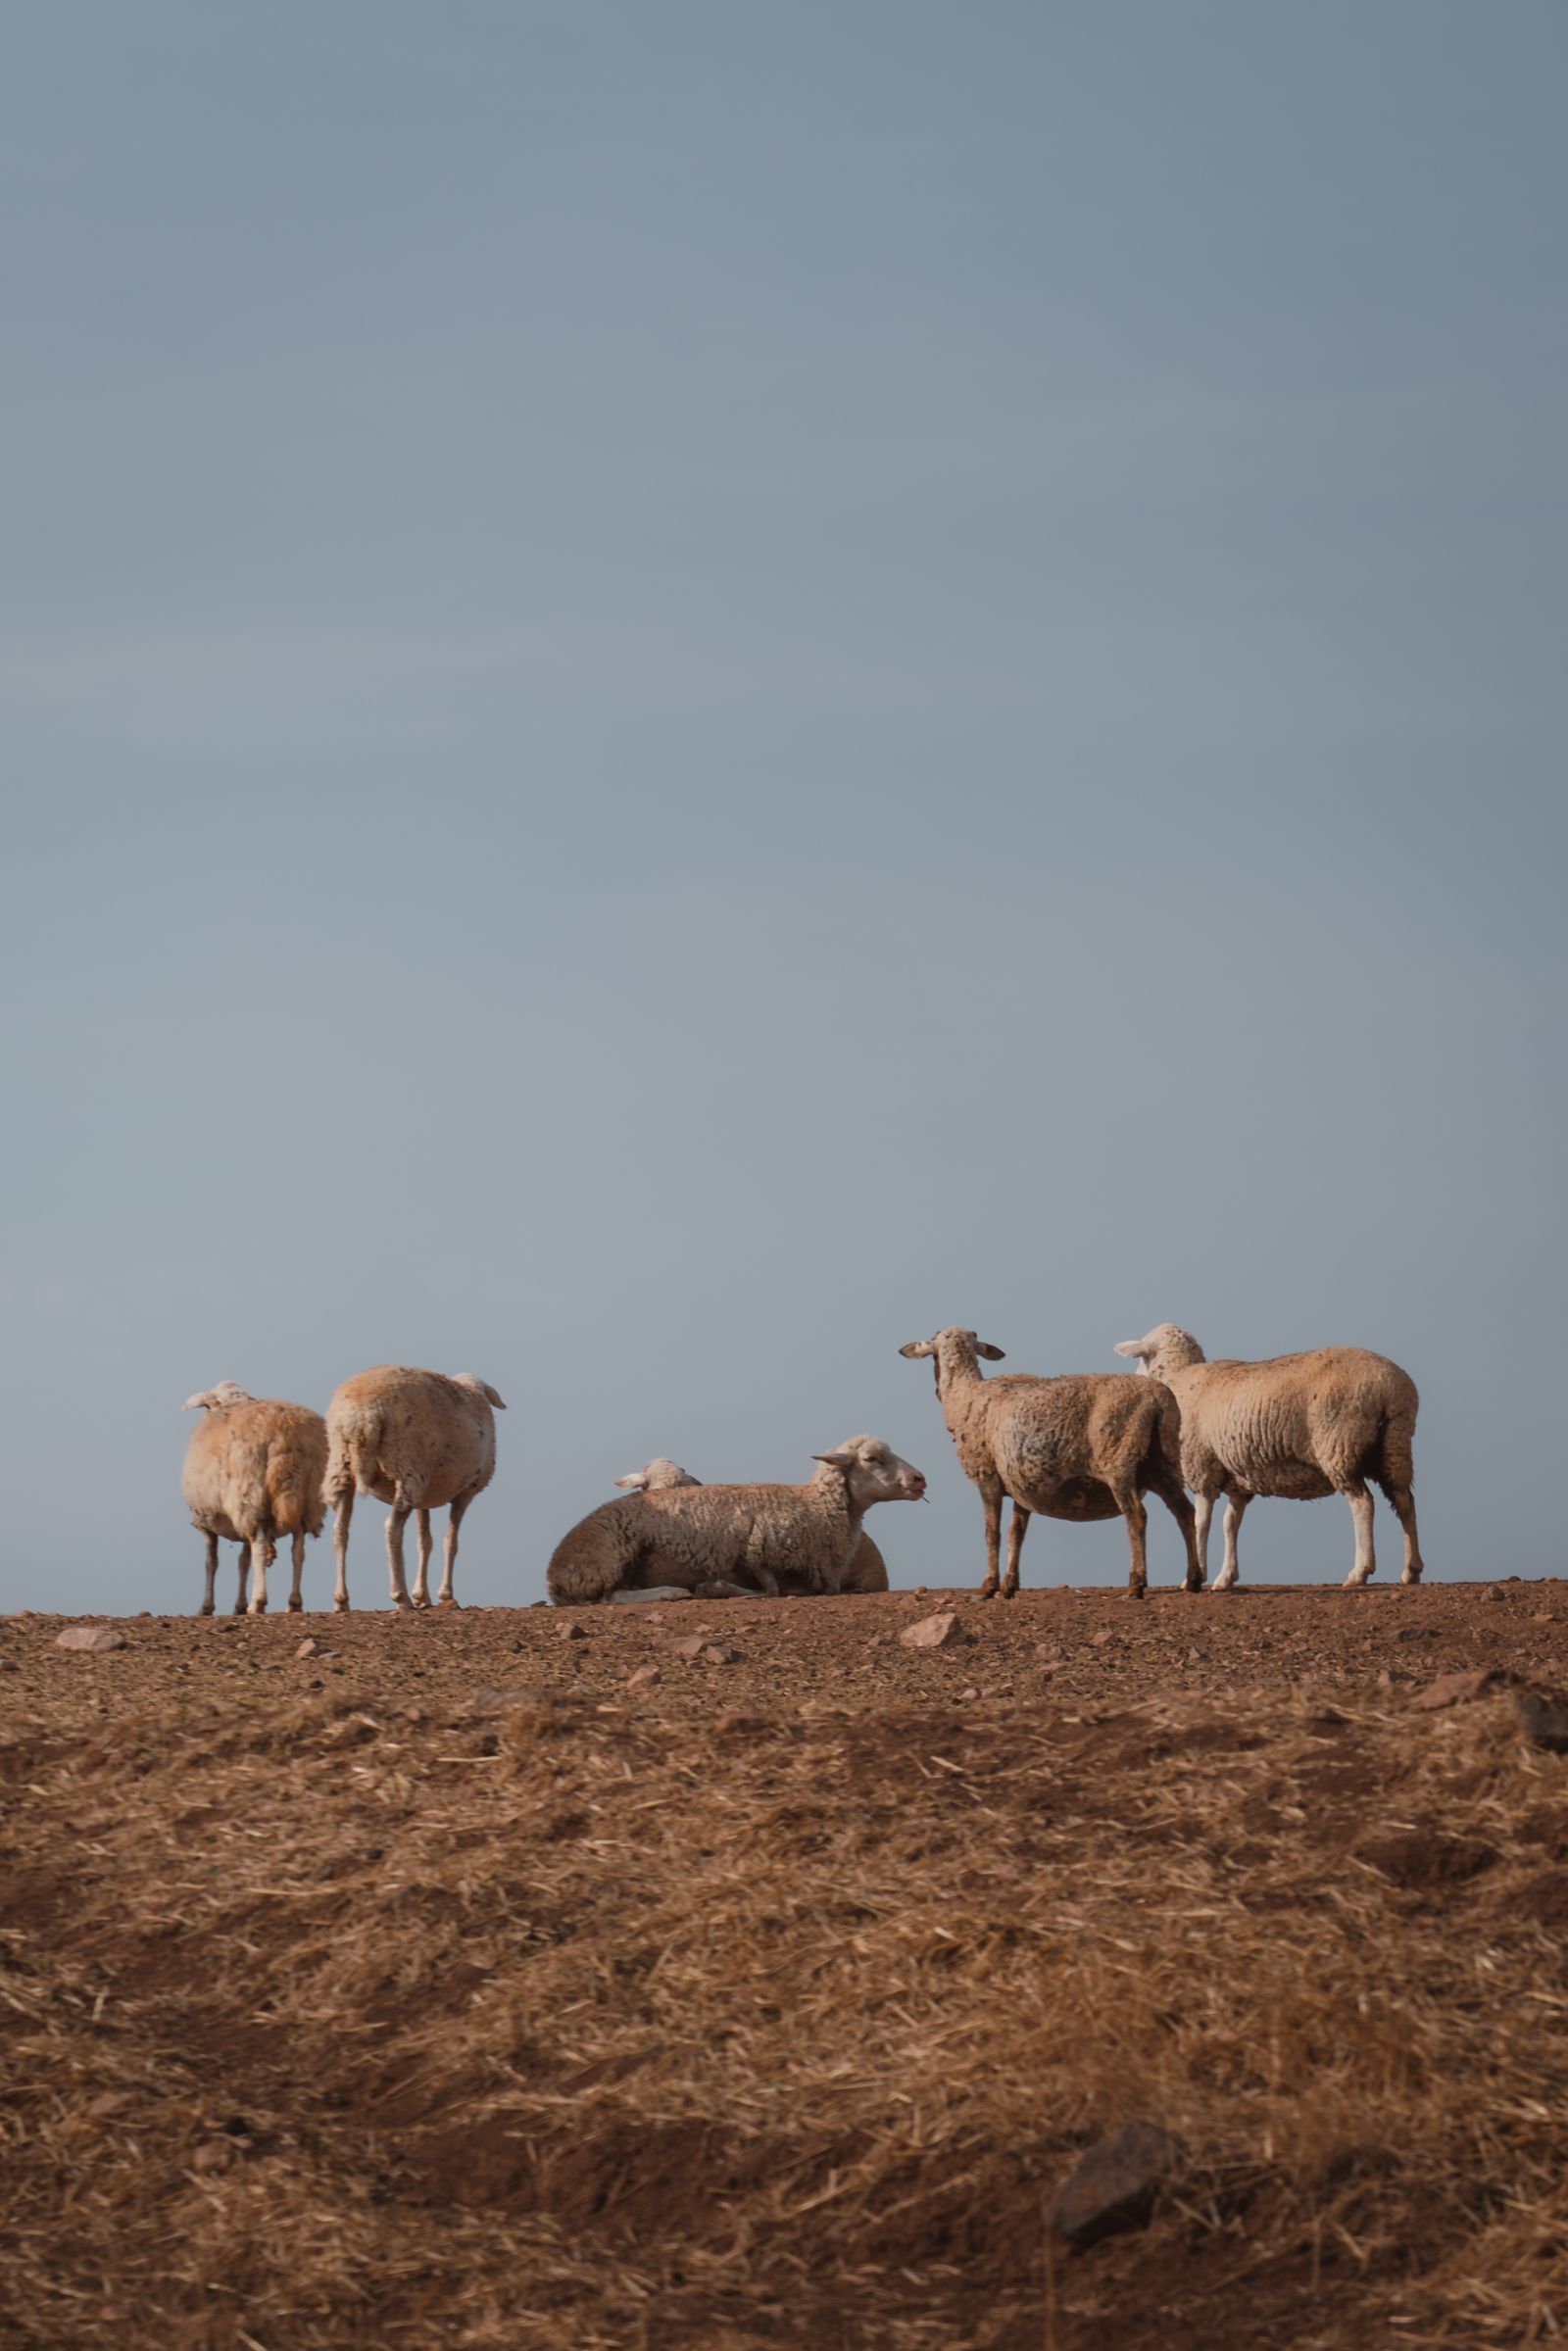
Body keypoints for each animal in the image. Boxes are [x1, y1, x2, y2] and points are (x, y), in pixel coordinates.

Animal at [181, 1383, 328, 1616]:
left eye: (209, 1405)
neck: (232, 1402)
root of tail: (285, 1434)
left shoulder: (206, 1521)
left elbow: (212, 1562)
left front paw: (206, 1607)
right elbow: (243, 1561)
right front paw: (238, 1606)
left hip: (250, 1495)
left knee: (260, 1548)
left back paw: (258, 1602)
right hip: (308, 1500)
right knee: (298, 1551)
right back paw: (294, 1603)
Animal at [323, 1365, 506, 1612]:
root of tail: (362, 1416)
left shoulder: (424, 1498)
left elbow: (425, 1542)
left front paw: (422, 1596)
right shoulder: (466, 1492)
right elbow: (451, 1542)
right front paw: (444, 1595)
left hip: (342, 1467)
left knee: (340, 1530)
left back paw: (342, 1600)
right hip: (407, 1467)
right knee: (392, 1528)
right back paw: (400, 1596)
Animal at [900, 1327, 1201, 1599]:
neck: (965, 1394)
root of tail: (1158, 1399)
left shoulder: (987, 1476)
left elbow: (992, 1533)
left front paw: (988, 1587)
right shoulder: (1021, 1483)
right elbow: (1016, 1534)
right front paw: (1009, 1586)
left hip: (1119, 1460)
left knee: (1137, 1516)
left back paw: (1136, 1585)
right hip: (1163, 1462)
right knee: (1185, 1513)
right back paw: (1193, 1579)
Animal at [1113, 1325, 1424, 1589]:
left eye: (1141, 1359)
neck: (1179, 1379)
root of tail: (1388, 1386)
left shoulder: (1202, 1468)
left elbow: (1202, 1523)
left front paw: (1195, 1577)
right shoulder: (1237, 1479)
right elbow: (1230, 1524)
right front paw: (1225, 1578)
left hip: (1340, 1445)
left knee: (1363, 1504)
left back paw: (1360, 1572)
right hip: (1394, 1445)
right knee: (1404, 1501)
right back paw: (1411, 1570)